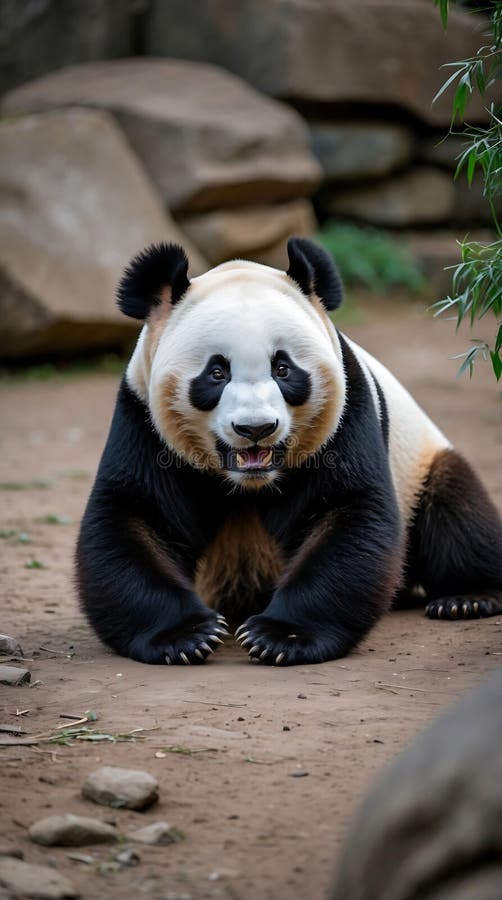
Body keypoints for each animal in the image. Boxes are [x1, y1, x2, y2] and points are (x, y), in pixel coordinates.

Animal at [76, 238, 502, 666]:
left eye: (283, 369)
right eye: (216, 373)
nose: (255, 429)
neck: (249, 483)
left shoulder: (345, 414)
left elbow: (351, 513)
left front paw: (279, 637)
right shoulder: (142, 418)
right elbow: (131, 519)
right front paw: (187, 635)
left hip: (419, 463)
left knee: (454, 512)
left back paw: (466, 598)